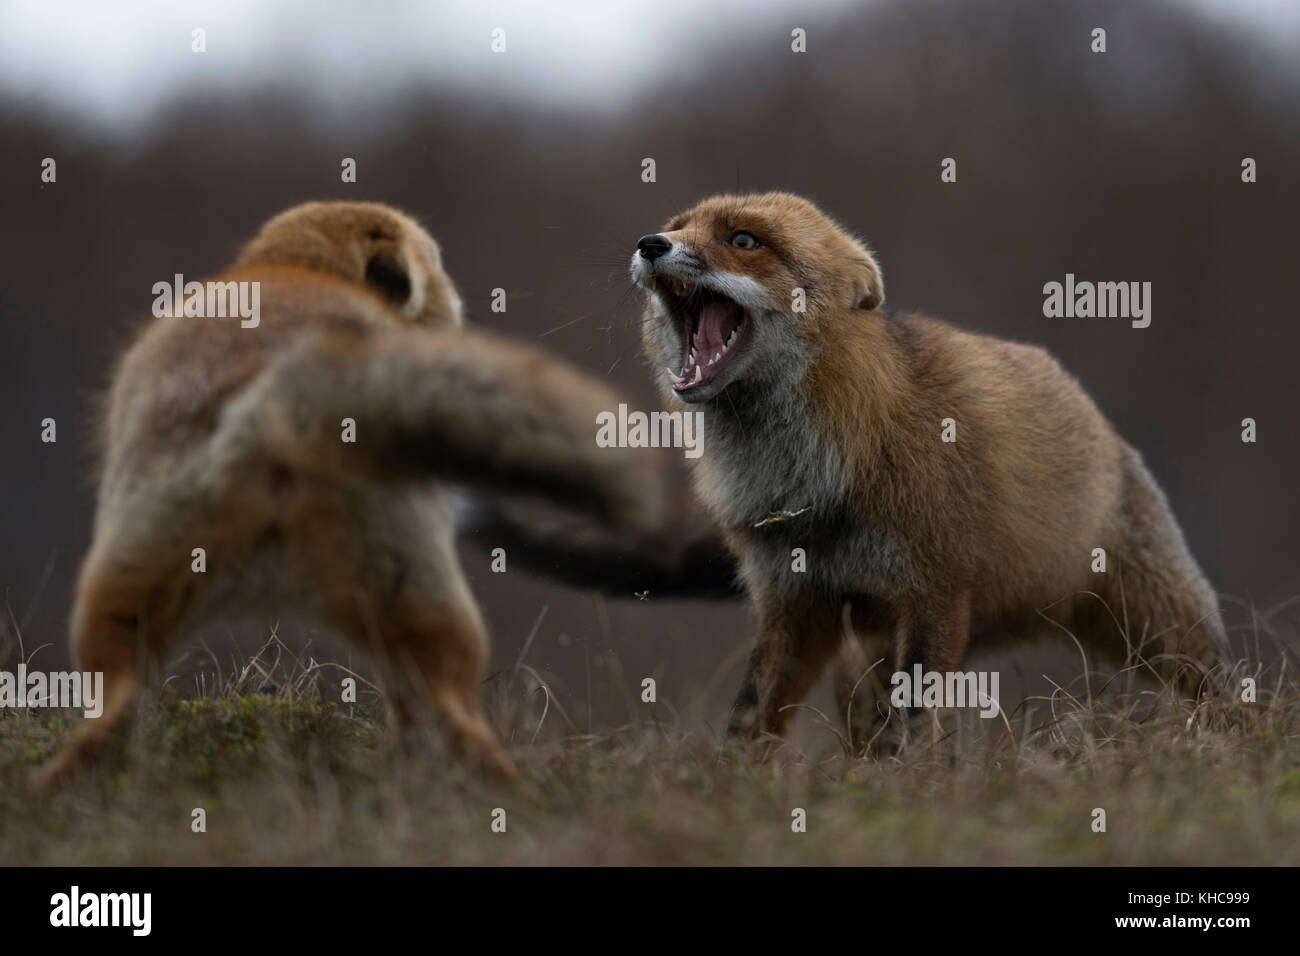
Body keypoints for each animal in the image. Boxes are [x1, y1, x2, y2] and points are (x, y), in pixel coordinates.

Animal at [630, 191, 1229, 748]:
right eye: (678, 226)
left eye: (743, 240)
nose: (650, 244)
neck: (811, 479)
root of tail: (1090, 406)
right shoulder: (794, 602)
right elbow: (748, 722)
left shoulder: (935, 593)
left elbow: (913, 732)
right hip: (864, 662)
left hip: (1163, 628)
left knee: (1224, 690)